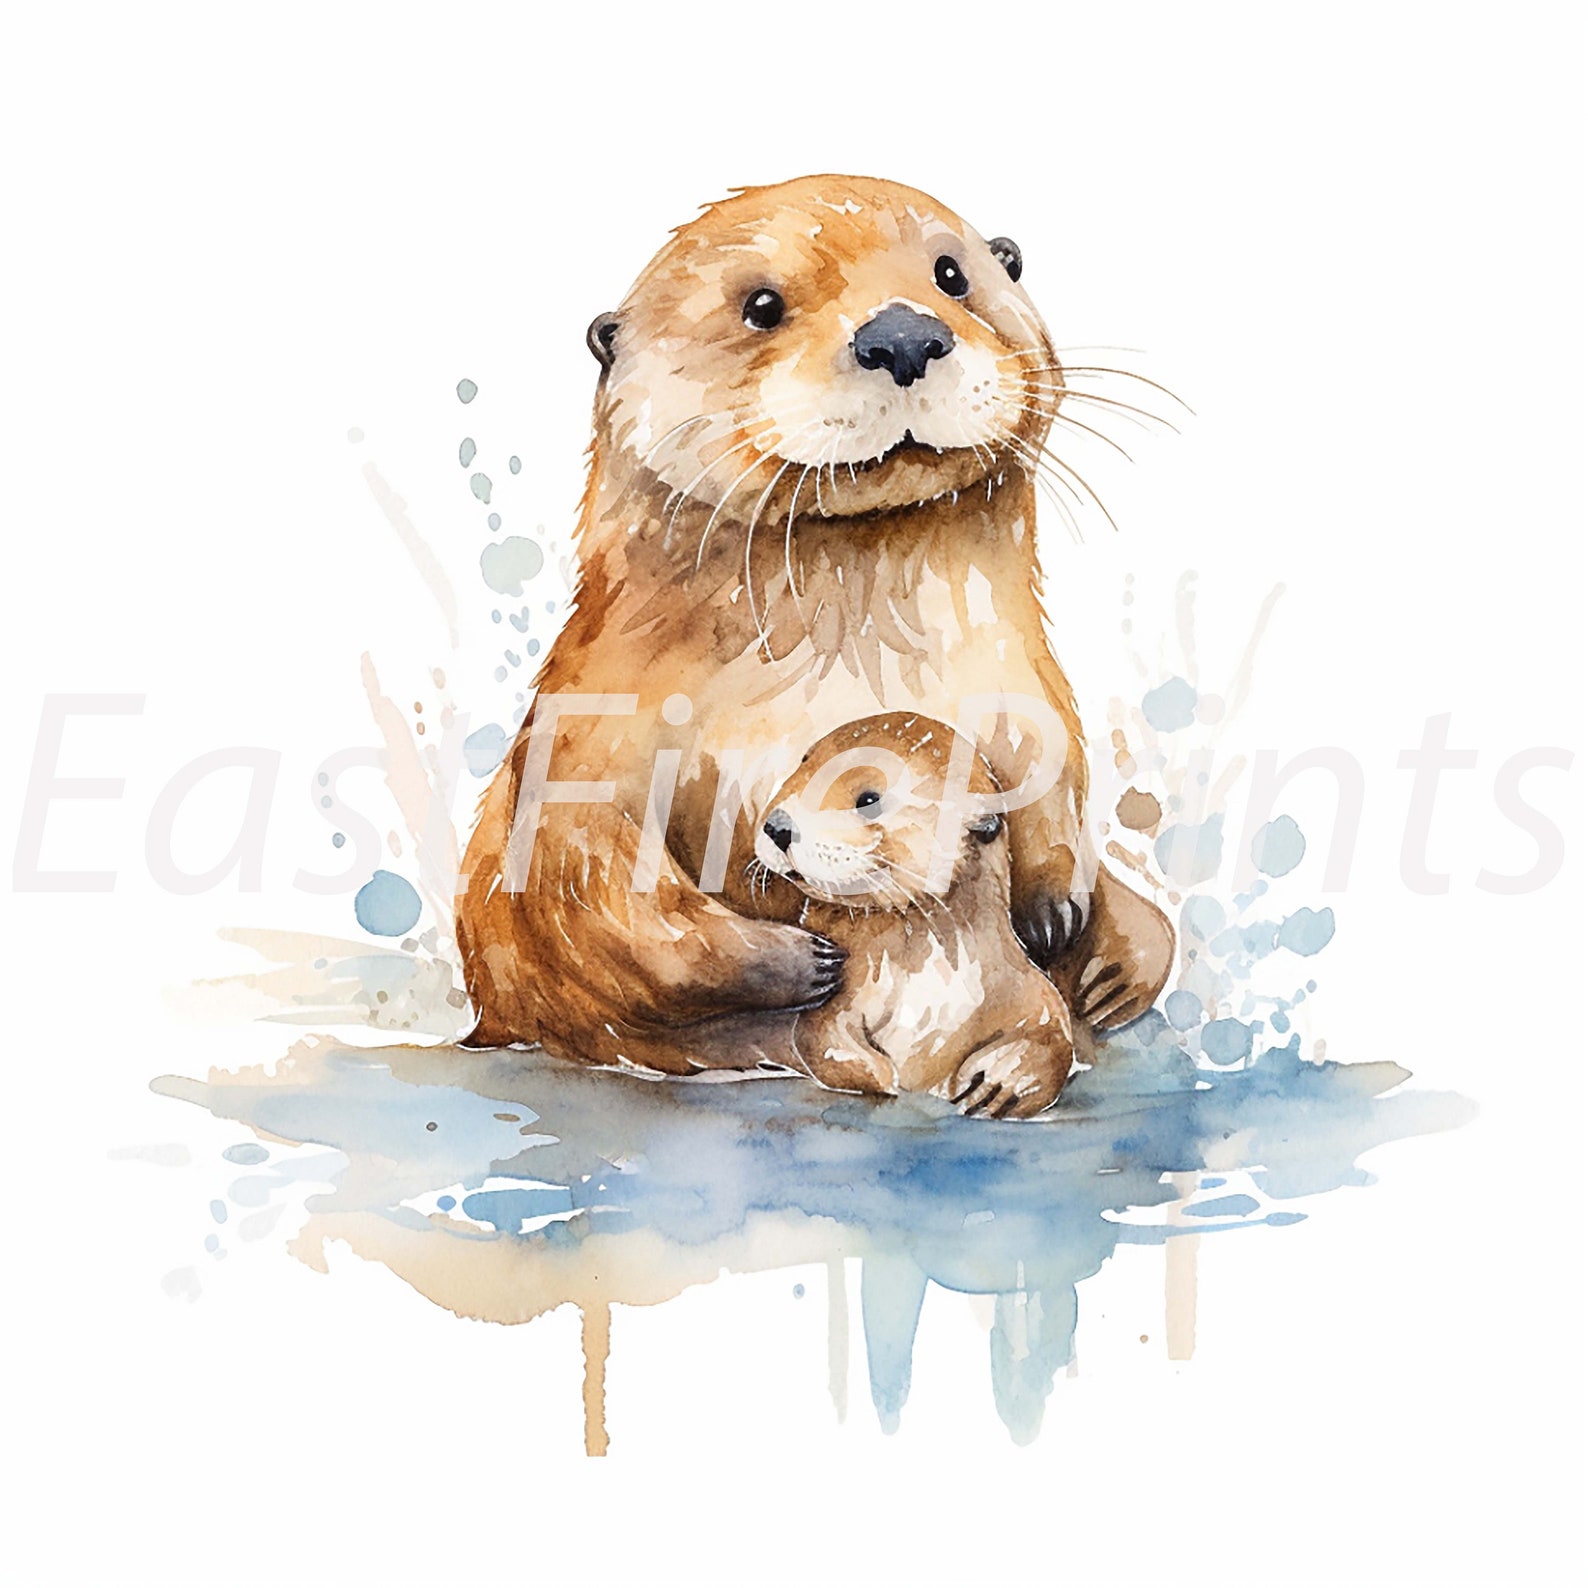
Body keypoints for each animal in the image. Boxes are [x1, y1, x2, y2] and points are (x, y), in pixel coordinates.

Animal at [756, 715, 1075, 1118]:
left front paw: (998, 1086)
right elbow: (818, 1036)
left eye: (869, 799)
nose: (777, 826)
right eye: (803, 766)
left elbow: (1055, 1031)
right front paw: (887, 1078)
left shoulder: (1016, 983)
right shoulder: (842, 994)